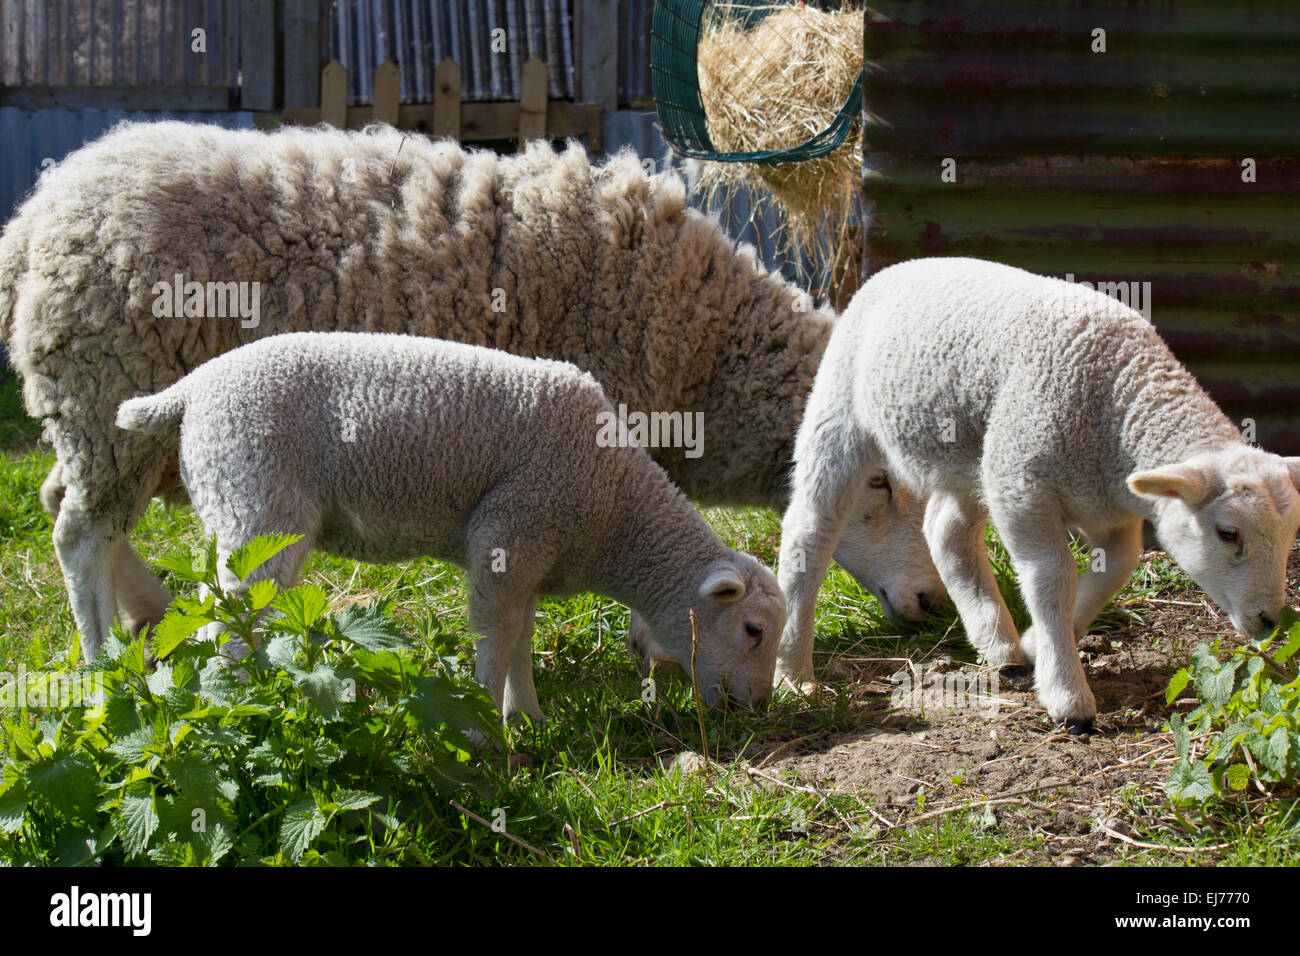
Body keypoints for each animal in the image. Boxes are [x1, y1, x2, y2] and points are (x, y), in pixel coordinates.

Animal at [0, 120, 943, 662]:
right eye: (878, 483)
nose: (933, 602)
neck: (700, 344)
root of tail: (36, 214)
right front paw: (657, 642)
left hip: (113, 418)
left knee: (66, 505)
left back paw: (147, 617)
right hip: (107, 397)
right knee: (78, 531)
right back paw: (101, 659)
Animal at [115, 331, 786, 716]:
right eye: (753, 629)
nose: (756, 708)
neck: (613, 508)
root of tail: (189, 391)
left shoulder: (525, 557)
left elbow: (521, 636)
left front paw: (527, 715)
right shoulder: (510, 533)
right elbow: (497, 636)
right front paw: (488, 731)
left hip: (233, 505)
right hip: (254, 506)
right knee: (227, 621)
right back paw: (237, 707)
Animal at [777, 256, 1300, 732]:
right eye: (1229, 533)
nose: (1272, 621)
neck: (1118, 407)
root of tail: (897, 268)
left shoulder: (1103, 505)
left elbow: (1118, 566)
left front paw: (1038, 646)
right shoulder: (1022, 485)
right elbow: (1051, 577)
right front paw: (1067, 695)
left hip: (973, 455)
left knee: (947, 532)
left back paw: (1000, 645)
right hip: (843, 411)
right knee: (810, 531)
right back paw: (794, 673)